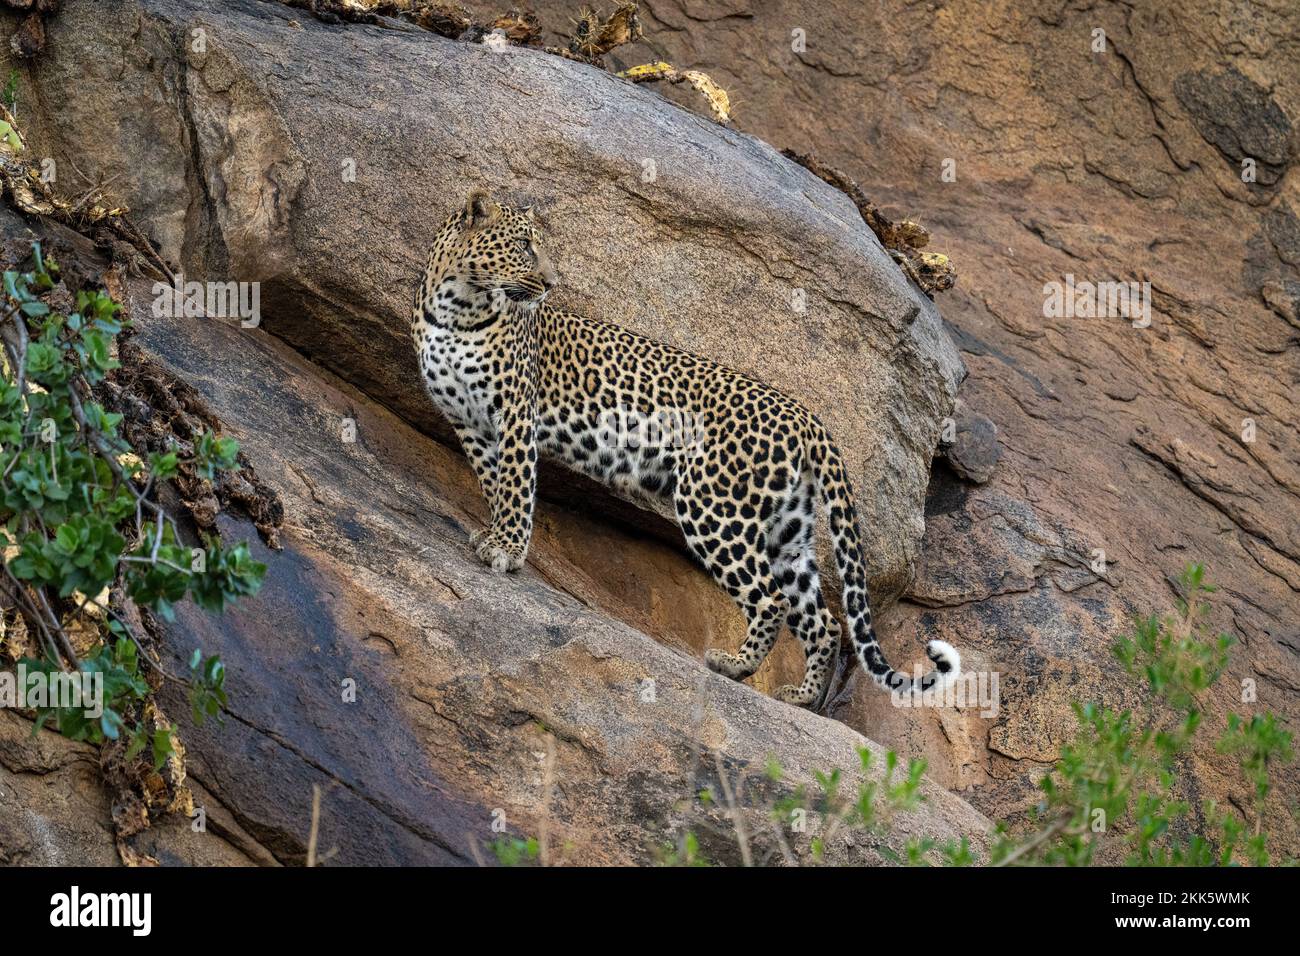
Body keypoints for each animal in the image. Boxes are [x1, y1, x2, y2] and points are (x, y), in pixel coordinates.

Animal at [410, 187, 960, 709]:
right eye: (525, 246)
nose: (551, 283)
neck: (457, 308)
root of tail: (807, 417)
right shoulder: (468, 424)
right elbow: (494, 484)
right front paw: (494, 536)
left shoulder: (515, 416)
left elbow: (517, 488)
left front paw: (506, 551)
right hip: (787, 529)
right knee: (820, 618)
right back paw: (801, 696)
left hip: (713, 505)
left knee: (770, 599)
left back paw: (734, 665)